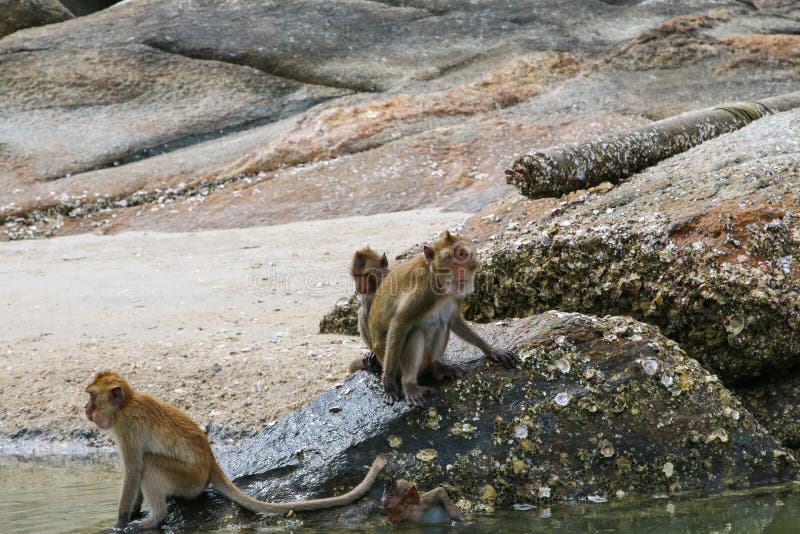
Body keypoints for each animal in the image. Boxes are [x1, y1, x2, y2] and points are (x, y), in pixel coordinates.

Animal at [84, 370, 388, 531]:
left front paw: (121, 522)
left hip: (188, 480)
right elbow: (133, 470)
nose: (86, 408)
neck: (125, 406)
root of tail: (211, 463)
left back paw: (156, 518)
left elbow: (135, 467)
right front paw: (134, 512)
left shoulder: (128, 427)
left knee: (149, 463)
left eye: (91, 396)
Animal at [368, 230, 517, 406]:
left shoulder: (455, 295)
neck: (441, 284)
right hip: (396, 363)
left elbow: (453, 320)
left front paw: (491, 350)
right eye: (450, 258)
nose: (461, 271)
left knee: (441, 324)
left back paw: (438, 367)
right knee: (415, 332)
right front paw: (389, 384)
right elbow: (400, 323)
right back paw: (409, 385)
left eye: (462, 255)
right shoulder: (423, 290)